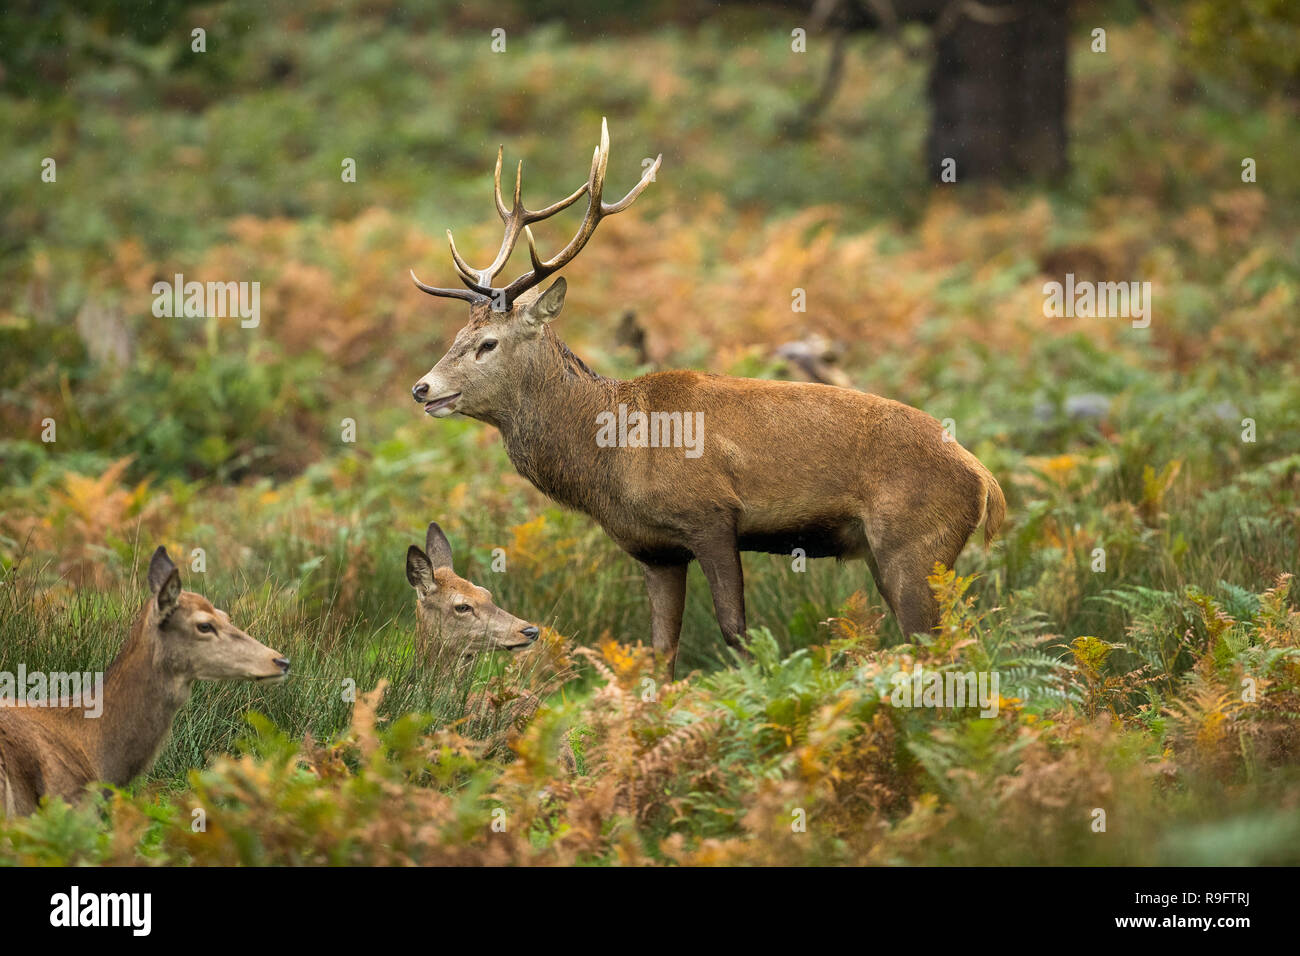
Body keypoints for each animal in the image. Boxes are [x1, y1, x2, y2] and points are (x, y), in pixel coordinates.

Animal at [409, 119, 1006, 680]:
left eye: (487, 343)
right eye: (455, 336)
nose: (423, 388)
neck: (611, 457)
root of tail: (985, 480)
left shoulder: (712, 515)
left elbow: (736, 631)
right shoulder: (654, 550)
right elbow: (659, 652)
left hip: (916, 543)